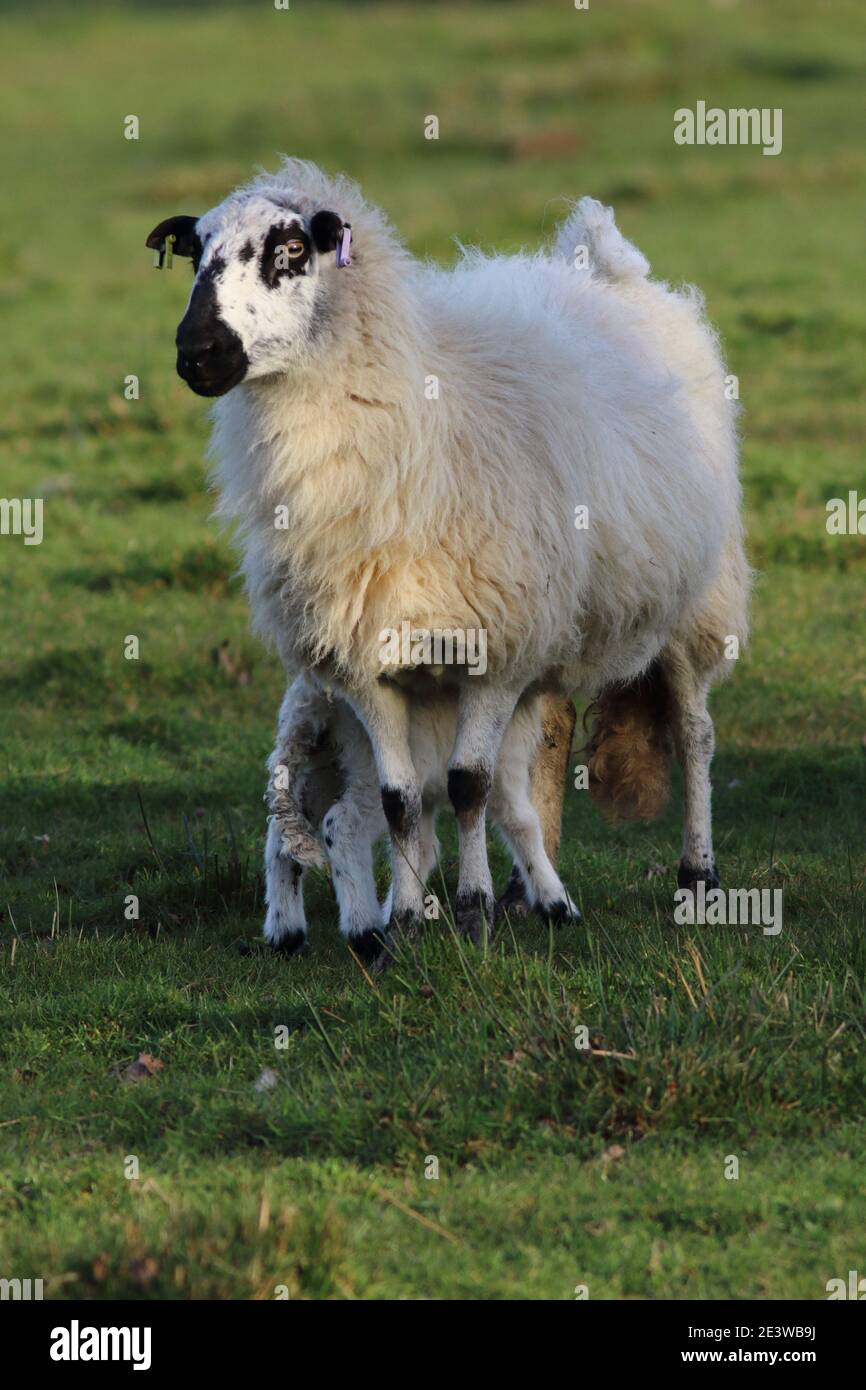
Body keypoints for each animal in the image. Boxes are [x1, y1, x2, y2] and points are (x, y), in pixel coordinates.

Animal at [264, 678, 577, 959]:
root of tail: (312, 699)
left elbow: (423, 849)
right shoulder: (504, 767)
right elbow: (523, 824)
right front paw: (557, 903)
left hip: (321, 767)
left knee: (283, 833)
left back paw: (285, 934)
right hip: (369, 771)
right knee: (342, 826)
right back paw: (365, 932)